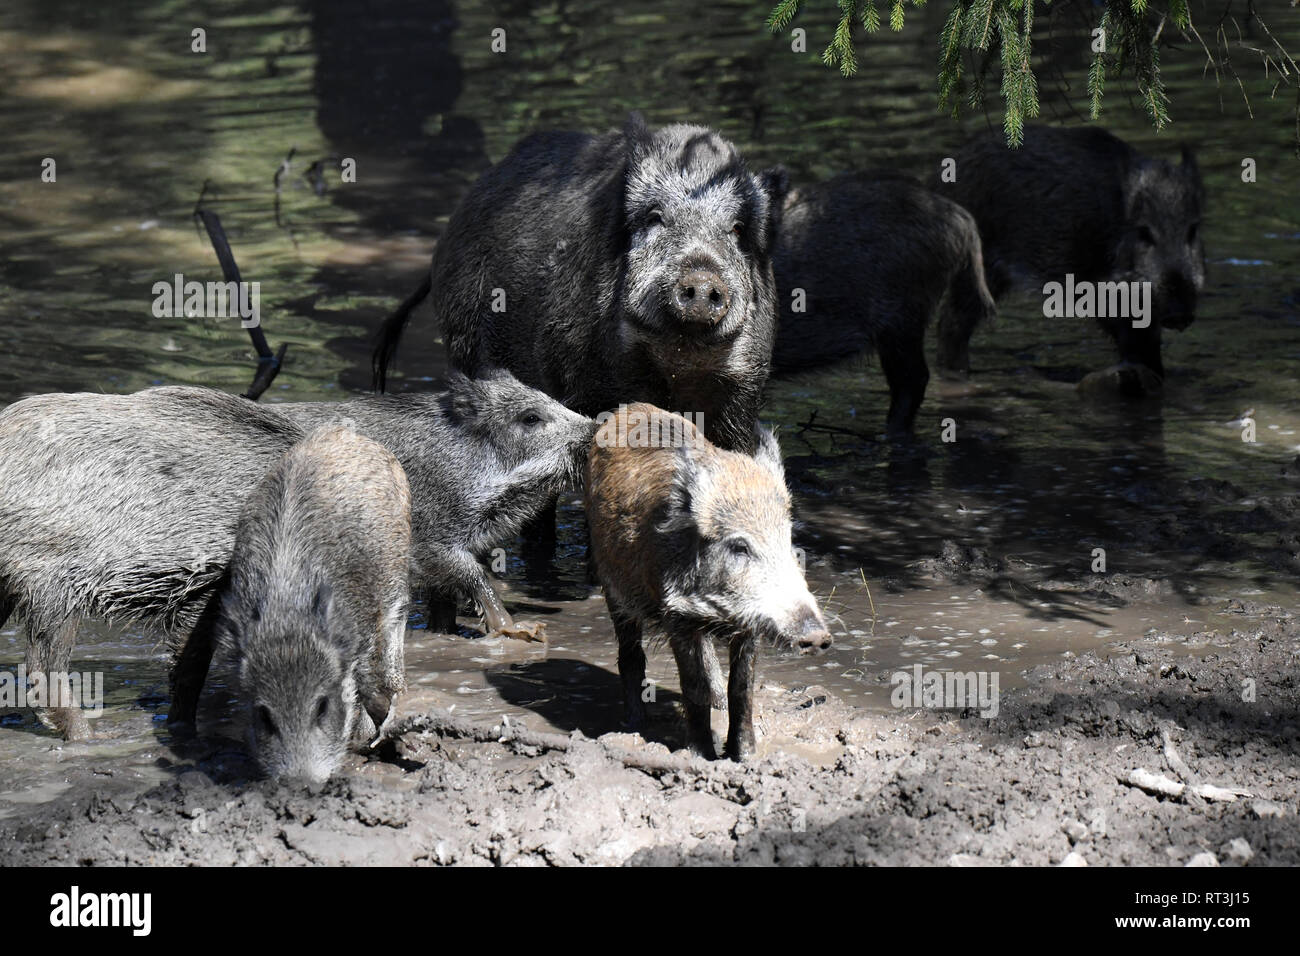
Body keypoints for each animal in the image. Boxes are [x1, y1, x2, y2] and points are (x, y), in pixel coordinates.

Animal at [214, 426, 411, 783]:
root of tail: (343, 431)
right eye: (264, 716)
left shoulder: (363, 632)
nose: (300, 784)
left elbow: (363, 683)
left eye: (322, 706)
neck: (287, 616)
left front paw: (366, 739)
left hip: (398, 568)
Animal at [585, 403, 831, 761]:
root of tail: (624, 410)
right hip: (612, 587)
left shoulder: (748, 623)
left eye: (787, 540)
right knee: (631, 654)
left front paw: (746, 756)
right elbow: (693, 684)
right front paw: (704, 756)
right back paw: (634, 724)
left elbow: (741, 687)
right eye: (739, 546)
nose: (817, 636)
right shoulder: (676, 614)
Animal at [933, 124, 1206, 379]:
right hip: (980, 268)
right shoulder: (1102, 291)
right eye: (1144, 232)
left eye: (1193, 230)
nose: (1180, 315)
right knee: (952, 322)